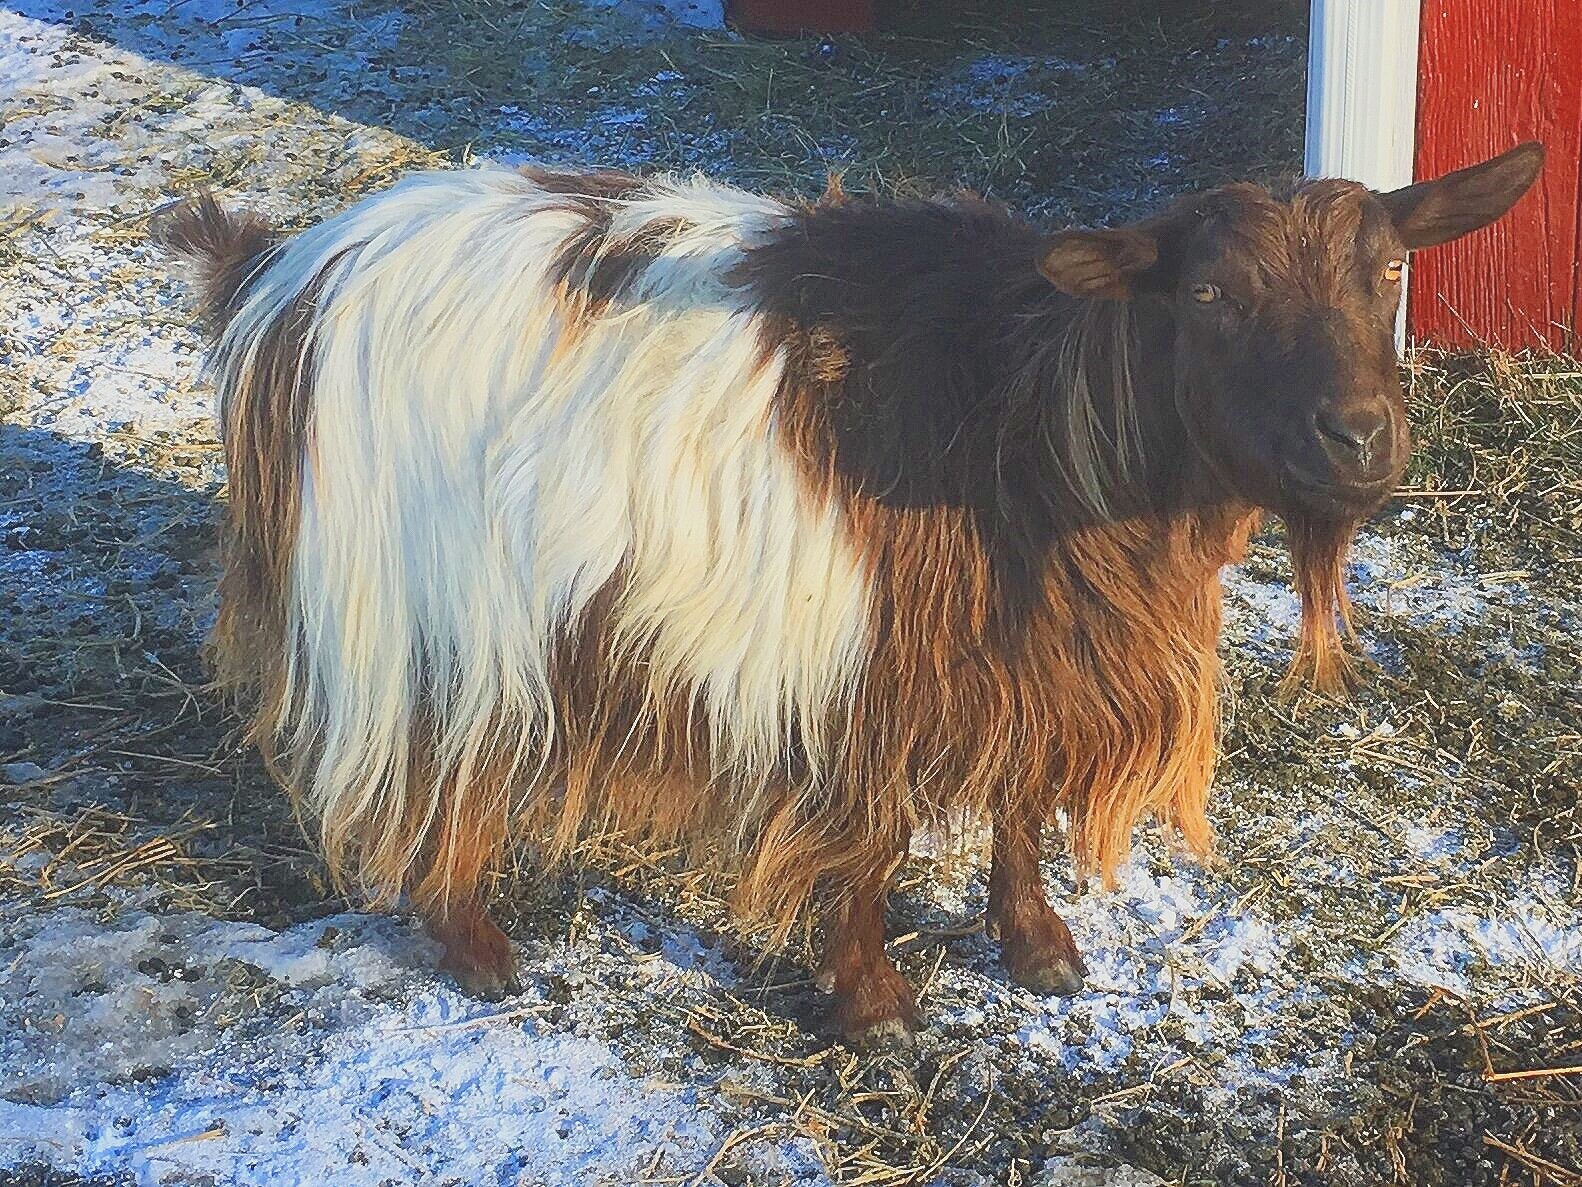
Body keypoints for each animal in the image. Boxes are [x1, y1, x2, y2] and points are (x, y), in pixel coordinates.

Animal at [155, 142, 1542, 1044]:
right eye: (1208, 291)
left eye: (1388, 275)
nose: (1357, 437)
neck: (1030, 408)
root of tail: (281, 274)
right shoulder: (873, 655)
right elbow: (870, 834)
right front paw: (872, 1004)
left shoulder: (1023, 652)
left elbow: (1018, 798)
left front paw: (1039, 949)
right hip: (416, 594)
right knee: (441, 762)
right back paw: (480, 949)